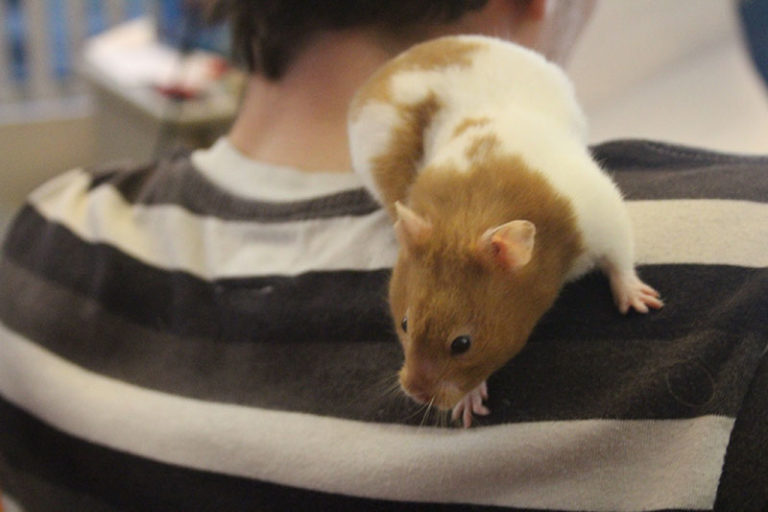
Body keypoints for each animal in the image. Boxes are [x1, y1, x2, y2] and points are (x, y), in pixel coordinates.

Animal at [348, 35, 662, 427]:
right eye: (405, 324)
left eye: (462, 344)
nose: (414, 393)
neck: (466, 219)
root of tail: (399, 61)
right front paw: (470, 404)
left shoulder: (602, 213)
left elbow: (619, 260)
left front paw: (641, 302)